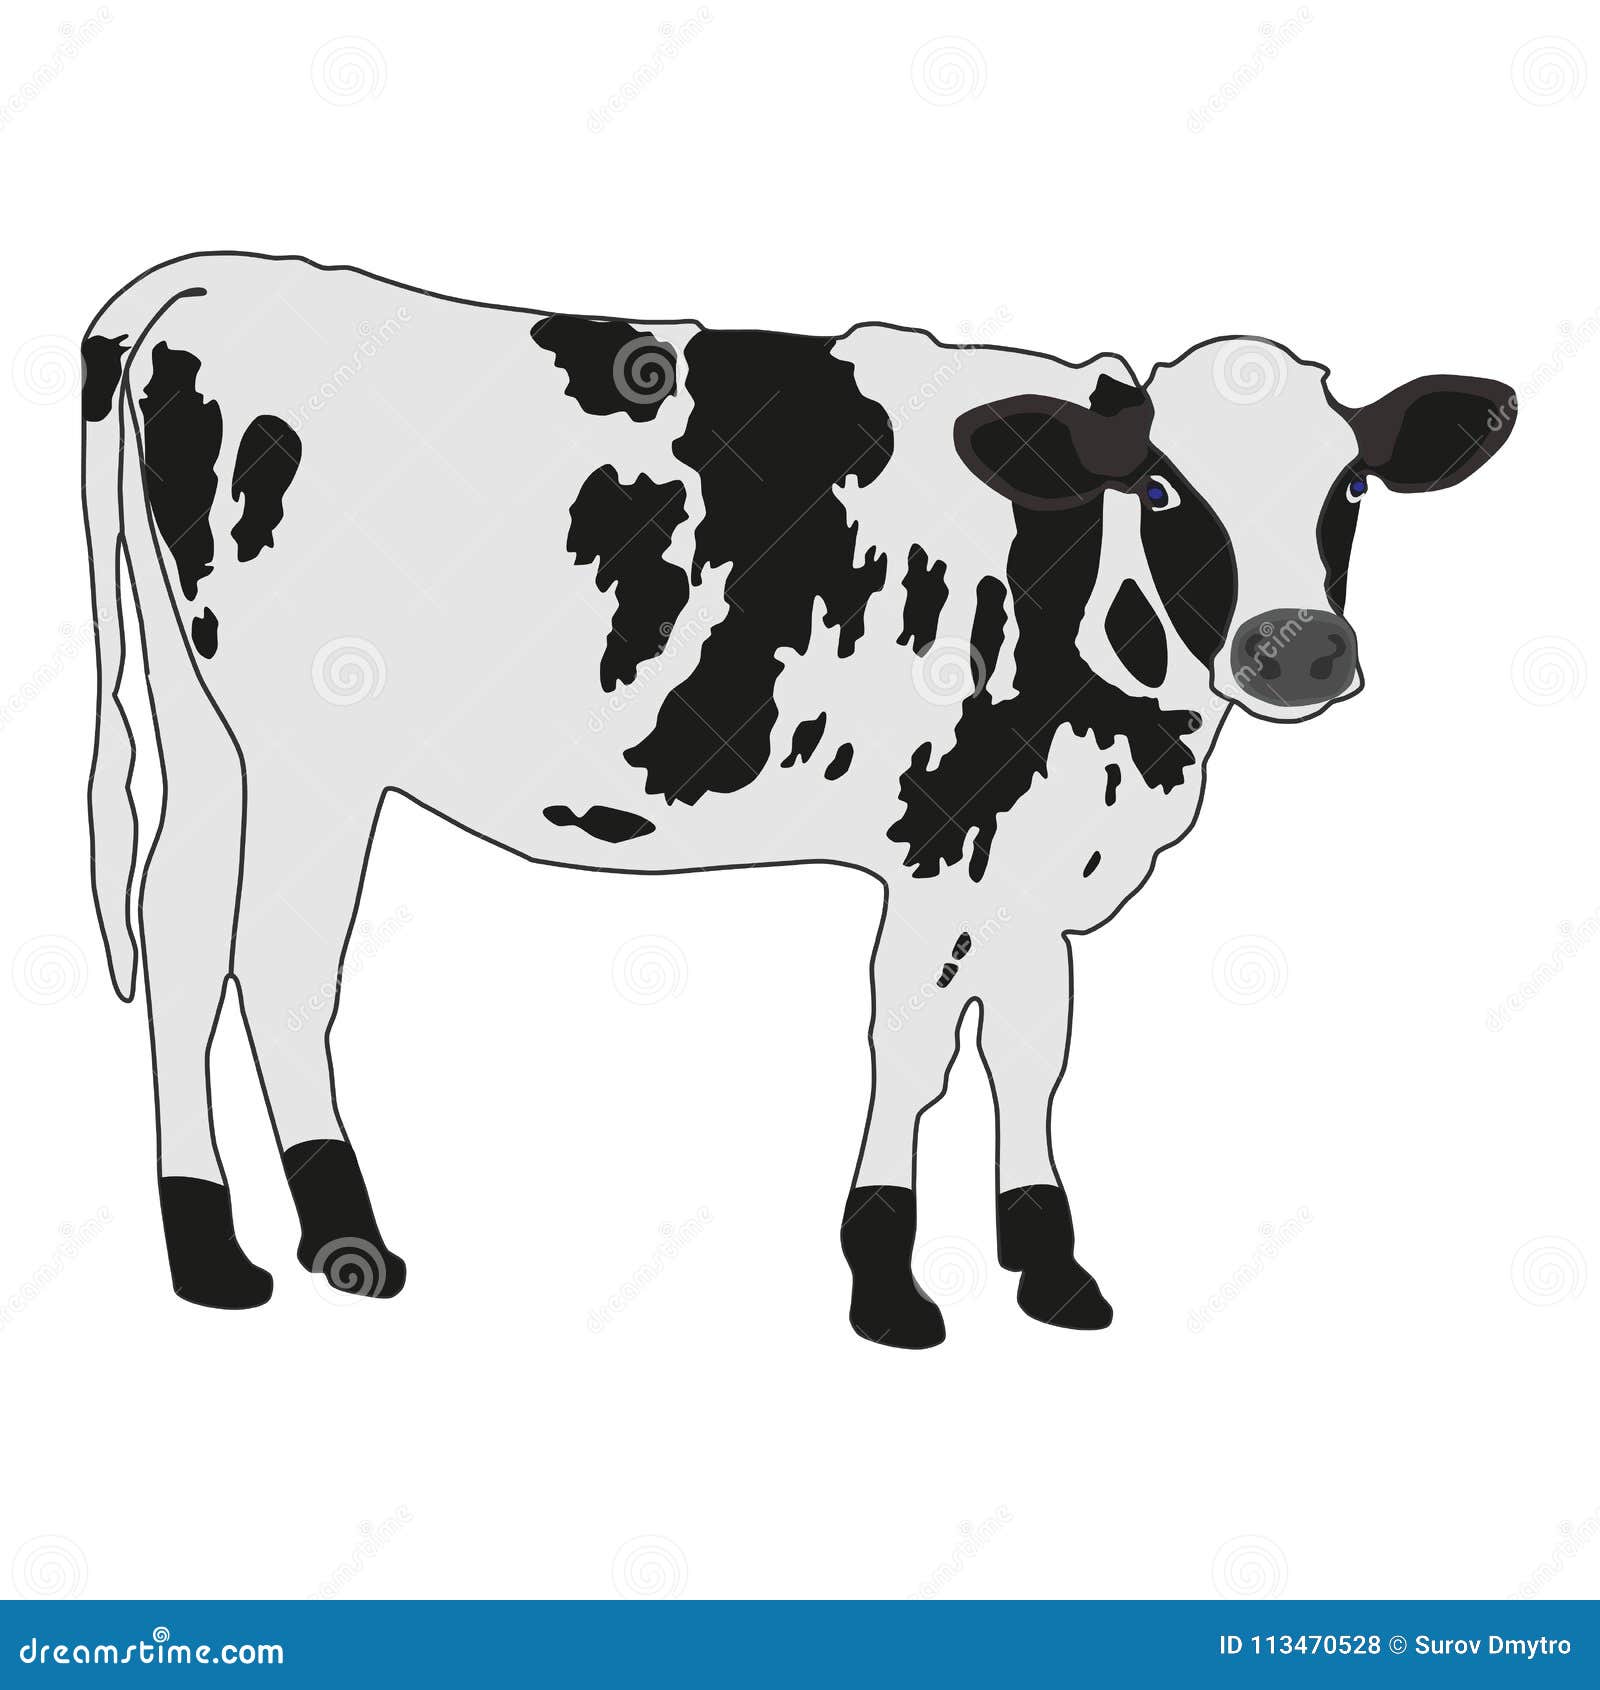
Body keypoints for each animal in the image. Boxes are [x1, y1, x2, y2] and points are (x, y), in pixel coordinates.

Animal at [80, 252, 1515, 1343]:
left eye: (1351, 484)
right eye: (1161, 485)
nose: (1298, 645)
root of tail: (217, 275)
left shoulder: (1034, 854)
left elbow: (1032, 1047)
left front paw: (1049, 1263)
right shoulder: (942, 834)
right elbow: (916, 1045)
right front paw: (888, 1278)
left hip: (211, 737)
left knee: (183, 934)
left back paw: (208, 1246)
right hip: (310, 756)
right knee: (275, 962)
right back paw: (346, 1236)